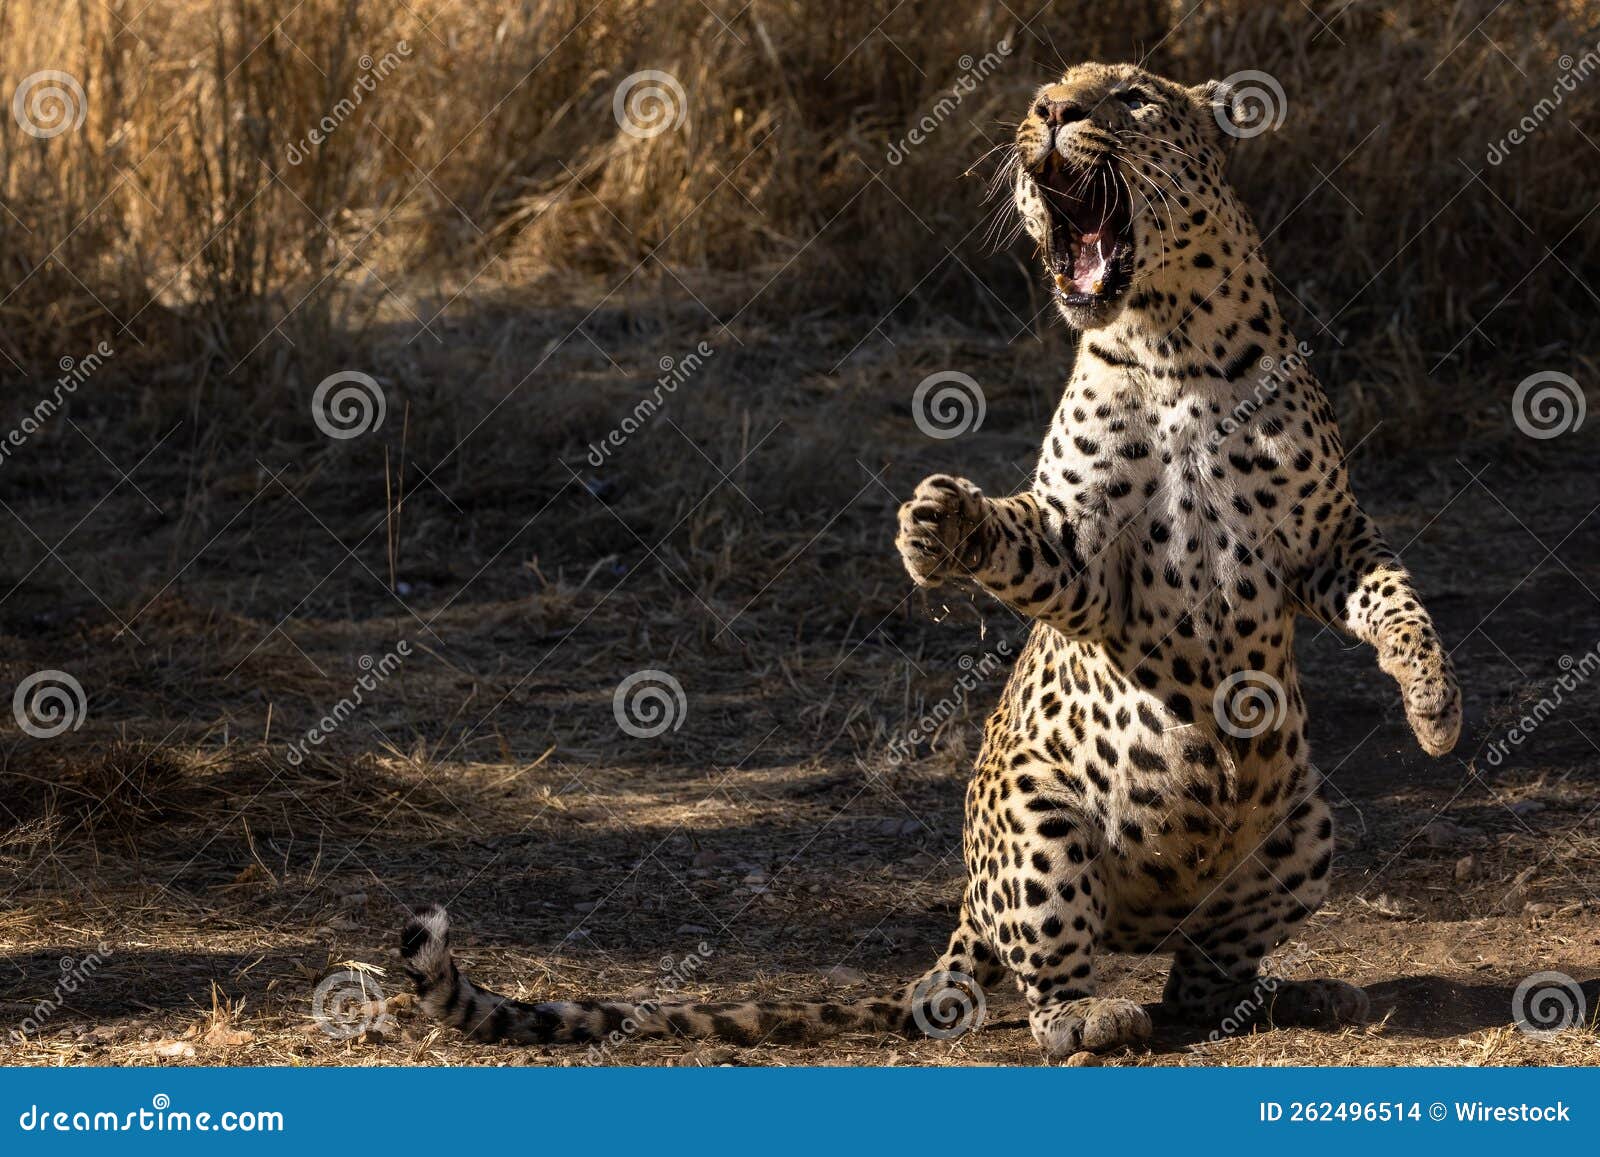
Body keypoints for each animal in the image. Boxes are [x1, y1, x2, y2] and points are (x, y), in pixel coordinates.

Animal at [399, 61, 1461, 1061]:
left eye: (1129, 96)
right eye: (1047, 93)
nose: (1050, 114)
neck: (1171, 342)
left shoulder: (1326, 537)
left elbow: (1397, 600)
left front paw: (1433, 706)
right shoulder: (1086, 554)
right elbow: (1027, 542)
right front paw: (938, 525)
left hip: (1305, 829)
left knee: (1202, 982)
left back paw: (1297, 994)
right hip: (1037, 817)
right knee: (1062, 976)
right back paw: (1088, 1016)